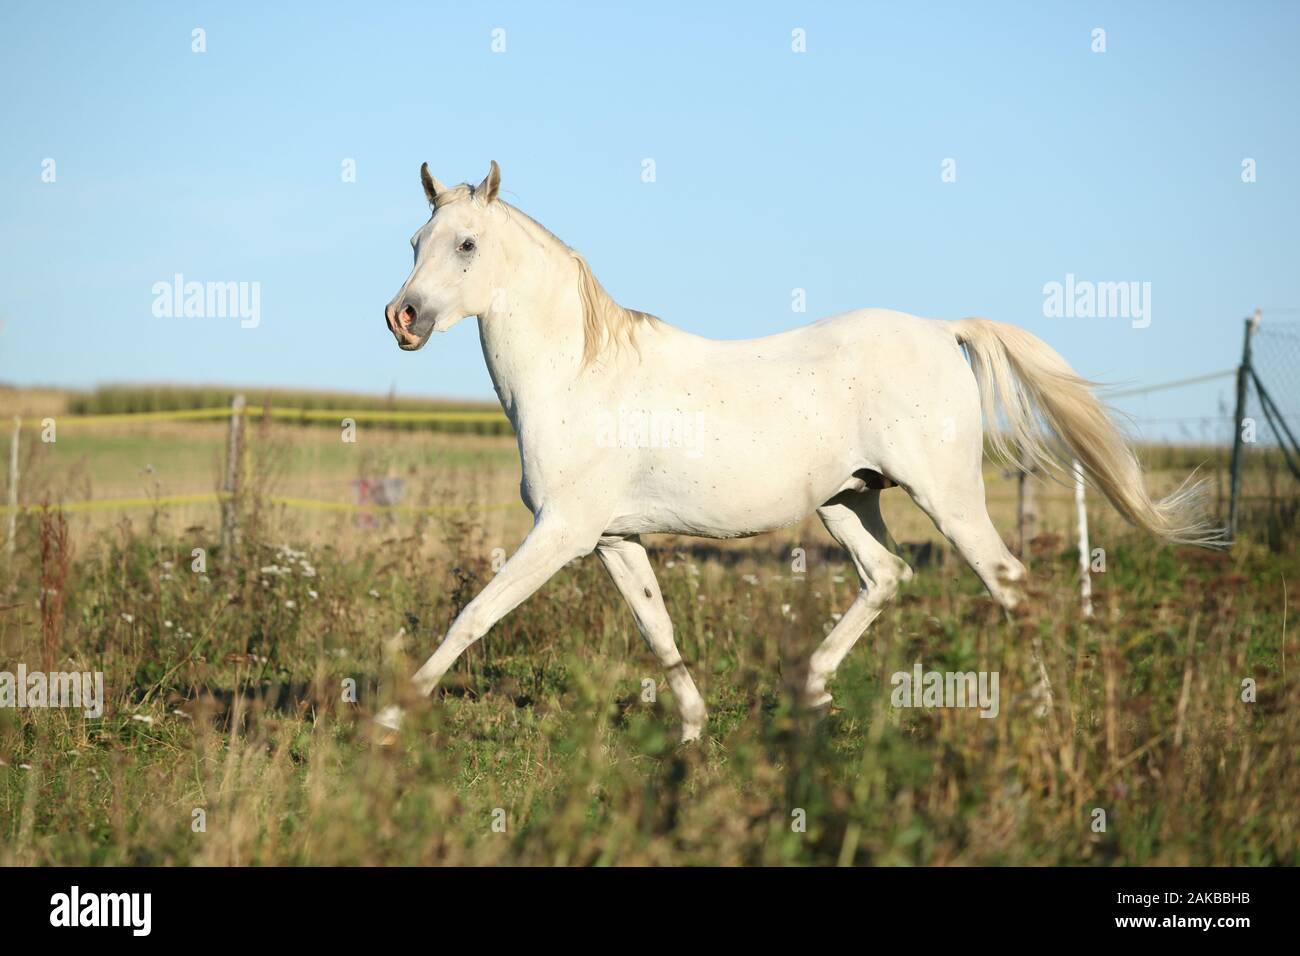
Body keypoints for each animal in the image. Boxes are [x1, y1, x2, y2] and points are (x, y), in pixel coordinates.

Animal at [376, 160, 1217, 741]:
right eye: (415, 241)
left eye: (467, 243)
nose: (402, 317)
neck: (577, 374)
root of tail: (942, 328)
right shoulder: (614, 538)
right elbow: (659, 630)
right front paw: (693, 731)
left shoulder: (562, 532)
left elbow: (475, 615)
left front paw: (391, 715)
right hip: (847, 500)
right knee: (887, 575)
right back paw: (810, 691)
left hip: (947, 498)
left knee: (1011, 587)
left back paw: (1041, 718)